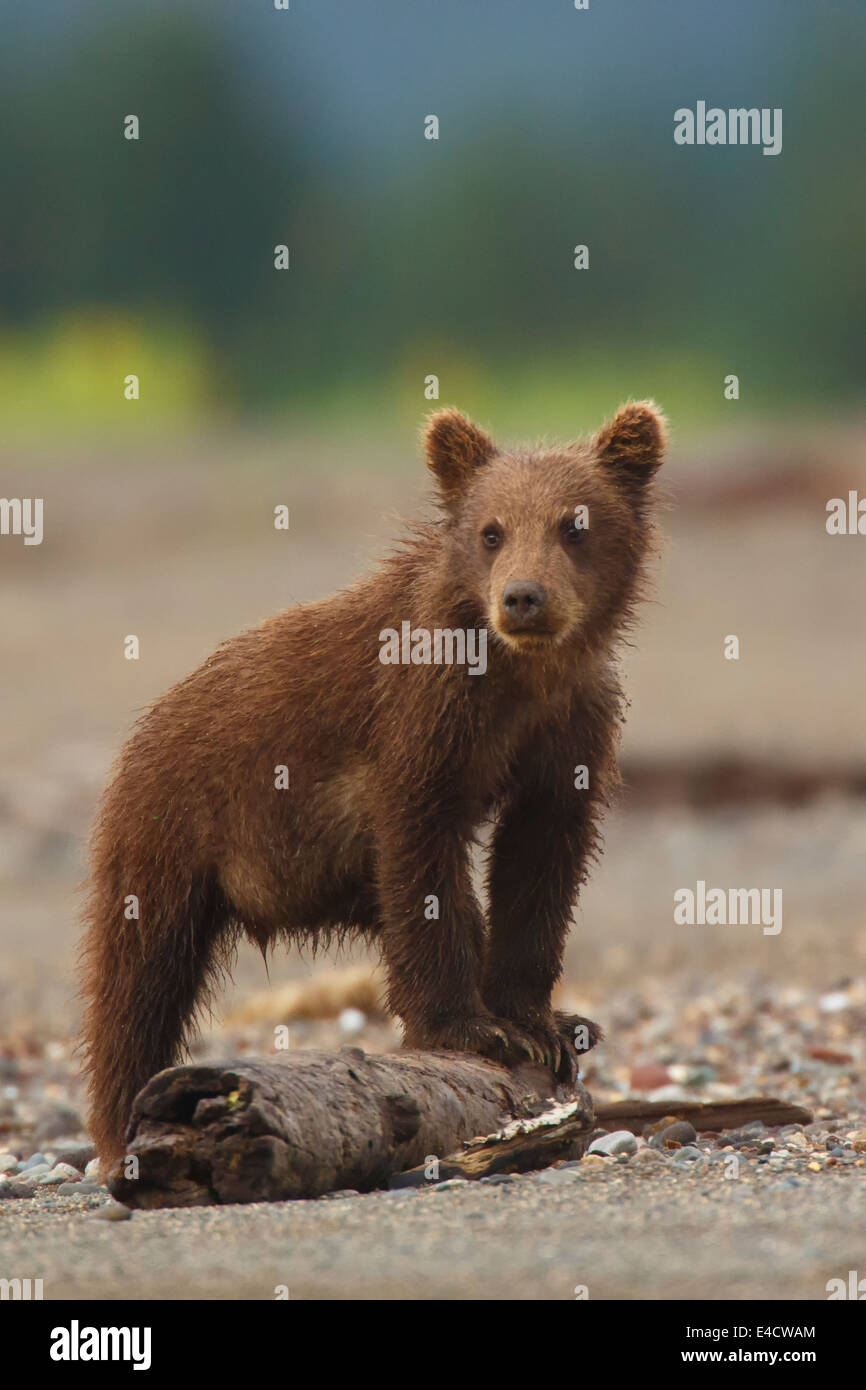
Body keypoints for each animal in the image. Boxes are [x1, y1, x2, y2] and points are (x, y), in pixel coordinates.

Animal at [79, 401, 666, 1165]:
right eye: (492, 531)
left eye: (575, 525)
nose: (523, 598)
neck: (520, 678)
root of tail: (141, 729)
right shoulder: (421, 721)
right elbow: (423, 853)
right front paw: (470, 1028)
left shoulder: (570, 732)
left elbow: (539, 864)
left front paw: (544, 1023)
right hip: (171, 829)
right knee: (139, 979)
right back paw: (123, 1125)